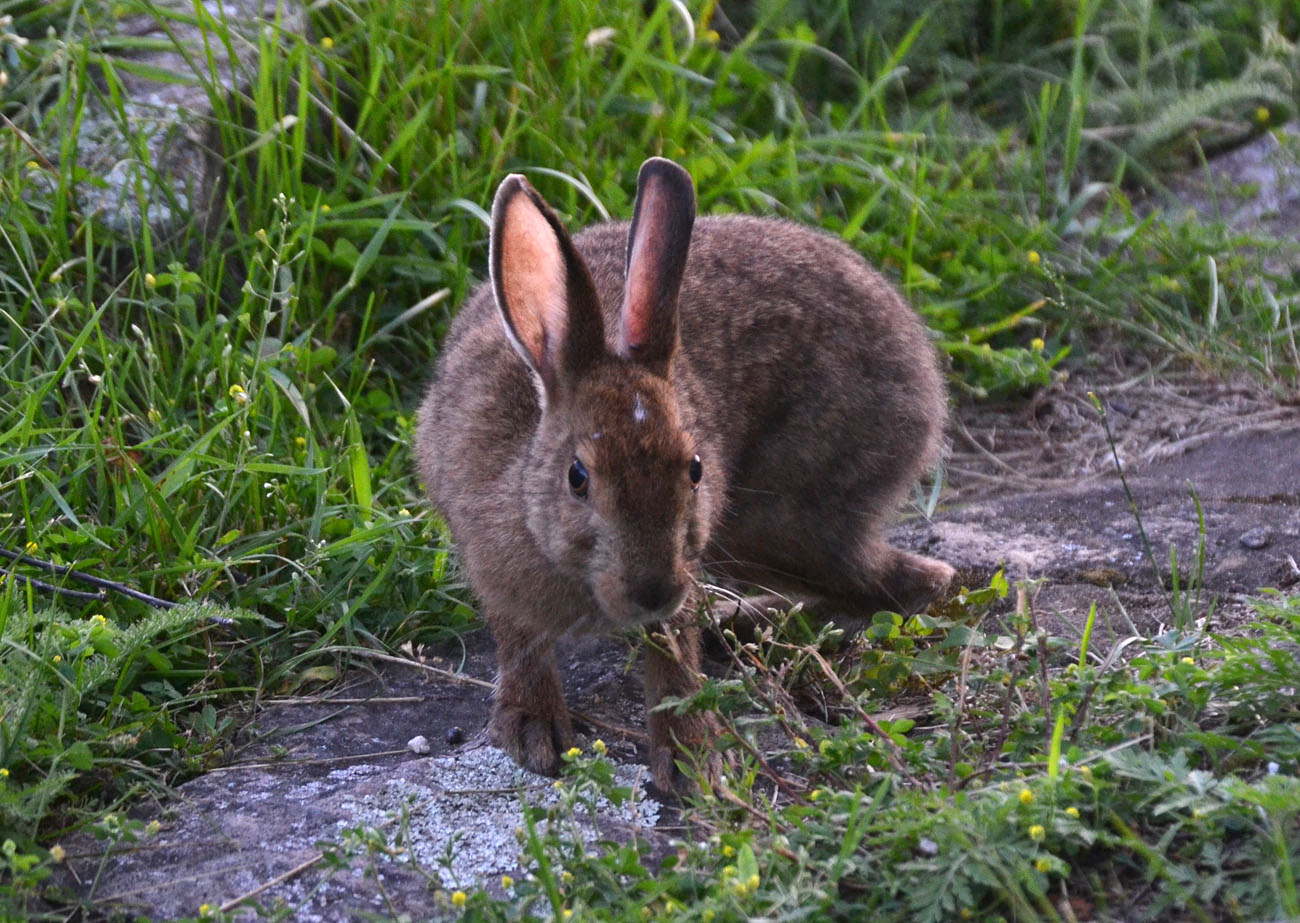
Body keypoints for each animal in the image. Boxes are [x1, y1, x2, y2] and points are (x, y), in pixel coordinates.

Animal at [415, 157, 954, 790]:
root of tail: (925, 379)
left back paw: (743, 625)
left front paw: (691, 757)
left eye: (695, 469)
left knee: (907, 583)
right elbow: (522, 645)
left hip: (772, 523)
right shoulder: (498, 572)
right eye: (578, 477)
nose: (652, 590)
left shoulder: (683, 569)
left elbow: (674, 662)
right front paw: (533, 730)